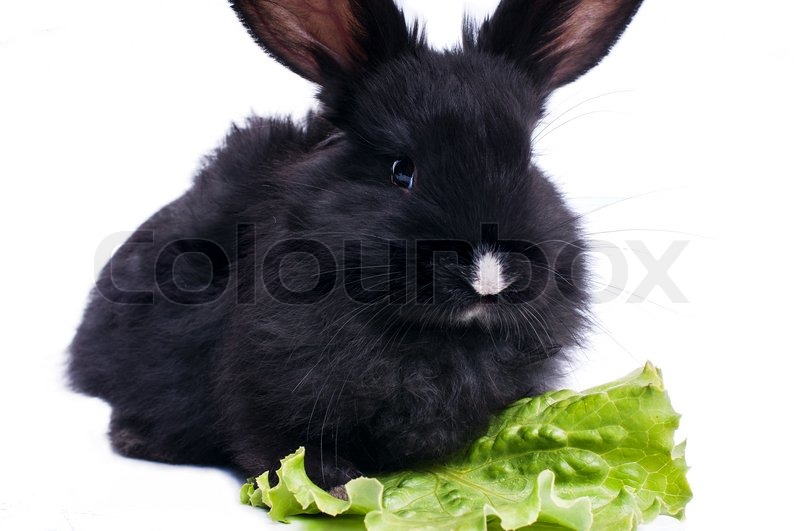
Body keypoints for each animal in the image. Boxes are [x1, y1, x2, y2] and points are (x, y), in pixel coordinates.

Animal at [68, 0, 644, 489]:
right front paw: (336, 485)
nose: (488, 277)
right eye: (401, 171)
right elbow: (277, 445)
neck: (437, 339)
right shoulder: (264, 391)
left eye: (525, 164)